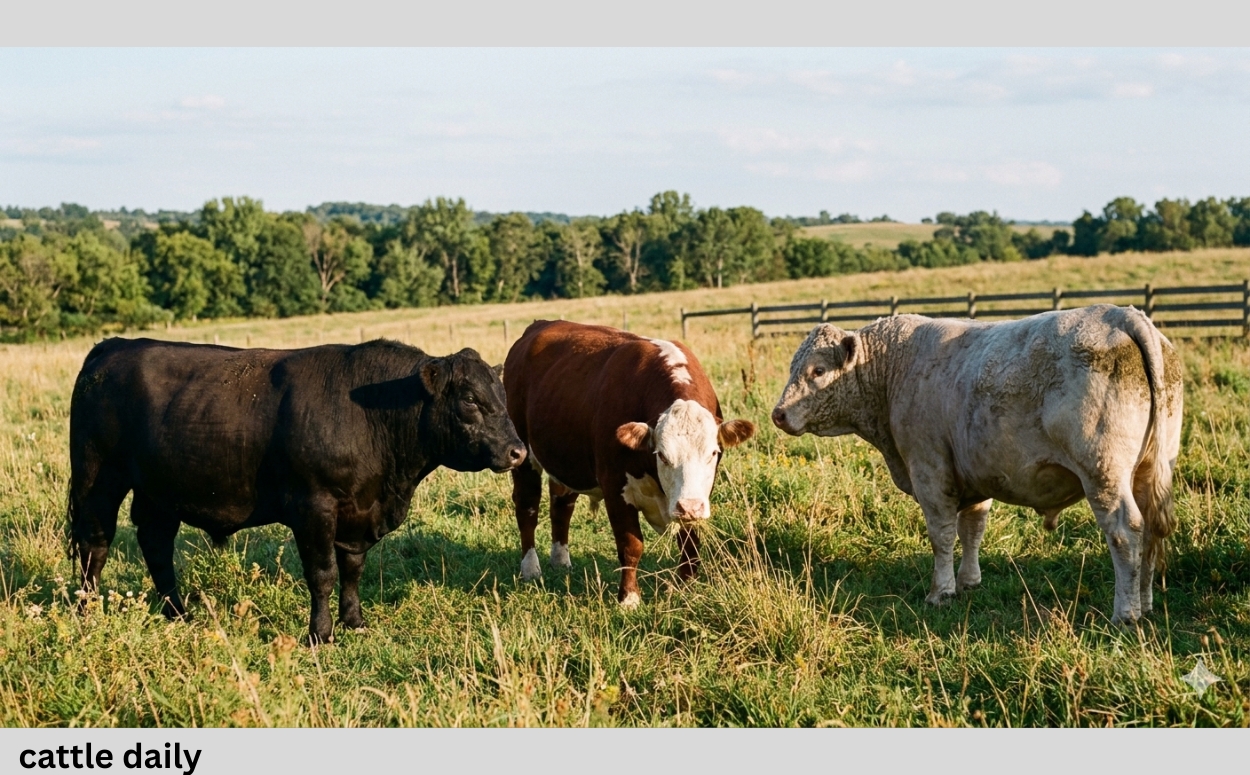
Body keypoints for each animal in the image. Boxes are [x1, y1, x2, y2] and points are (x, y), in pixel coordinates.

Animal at [68, 337, 526, 643]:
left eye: (502, 394)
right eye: (470, 399)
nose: (517, 451)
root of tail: (116, 345)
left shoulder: (358, 514)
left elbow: (352, 570)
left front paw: (355, 622)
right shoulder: (314, 507)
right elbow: (321, 574)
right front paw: (321, 634)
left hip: (158, 491)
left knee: (156, 543)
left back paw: (178, 613)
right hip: (97, 479)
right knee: (96, 544)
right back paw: (87, 612)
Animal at [503, 320, 756, 607]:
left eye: (713, 453)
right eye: (662, 455)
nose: (689, 507)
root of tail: (541, 325)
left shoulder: (694, 495)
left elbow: (690, 543)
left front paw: (686, 587)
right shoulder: (616, 489)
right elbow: (630, 545)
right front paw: (629, 598)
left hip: (565, 462)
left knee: (561, 506)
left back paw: (560, 561)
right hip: (523, 456)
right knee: (527, 508)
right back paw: (530, 569)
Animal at [771, 305, 1182, 625]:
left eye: (818, 371)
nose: (778, 414)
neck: (891, 371)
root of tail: (1121, 314)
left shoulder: (929, 470)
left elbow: (941, 536)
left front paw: (941, 591)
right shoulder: (975, 471)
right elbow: (972, 529)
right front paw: (969, 581)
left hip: (1103, 474)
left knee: (1125, 531)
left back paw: (1125, 613)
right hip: (1148, 470)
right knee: (1150, 533)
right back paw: (1145, 603)